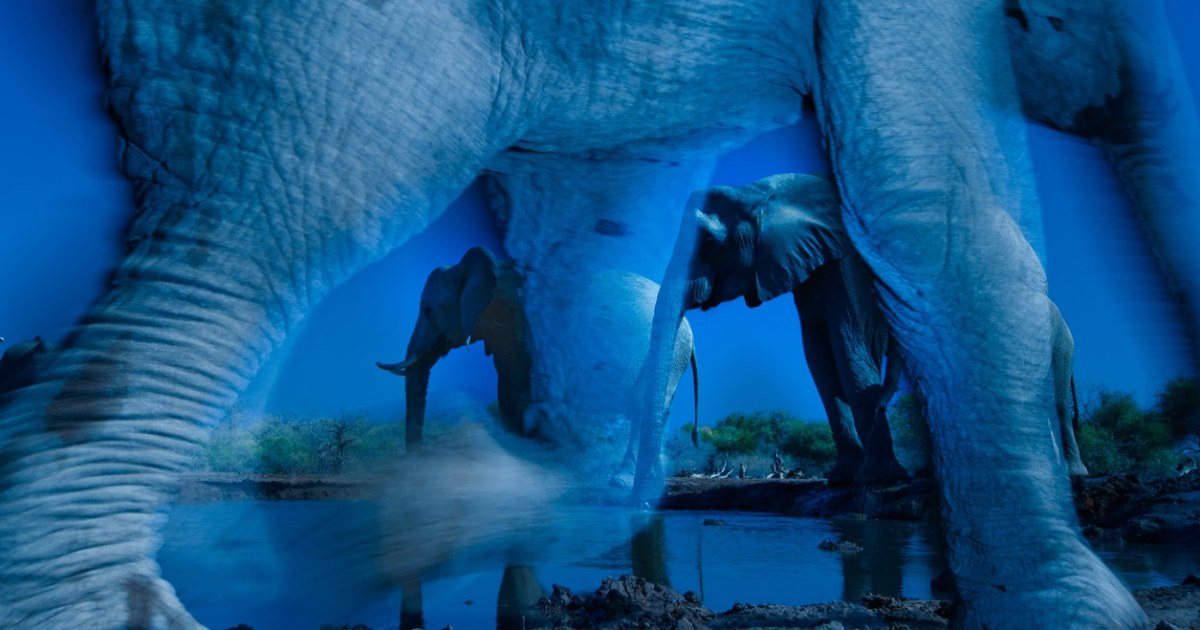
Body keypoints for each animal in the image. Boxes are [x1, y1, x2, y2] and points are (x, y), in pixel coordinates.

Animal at [689, 173, 1090, 480]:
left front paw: (880, 478)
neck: (770, 192)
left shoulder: (853, 267)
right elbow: (818, 356)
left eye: (707, 242)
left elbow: (848, 348)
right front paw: (843, 479)